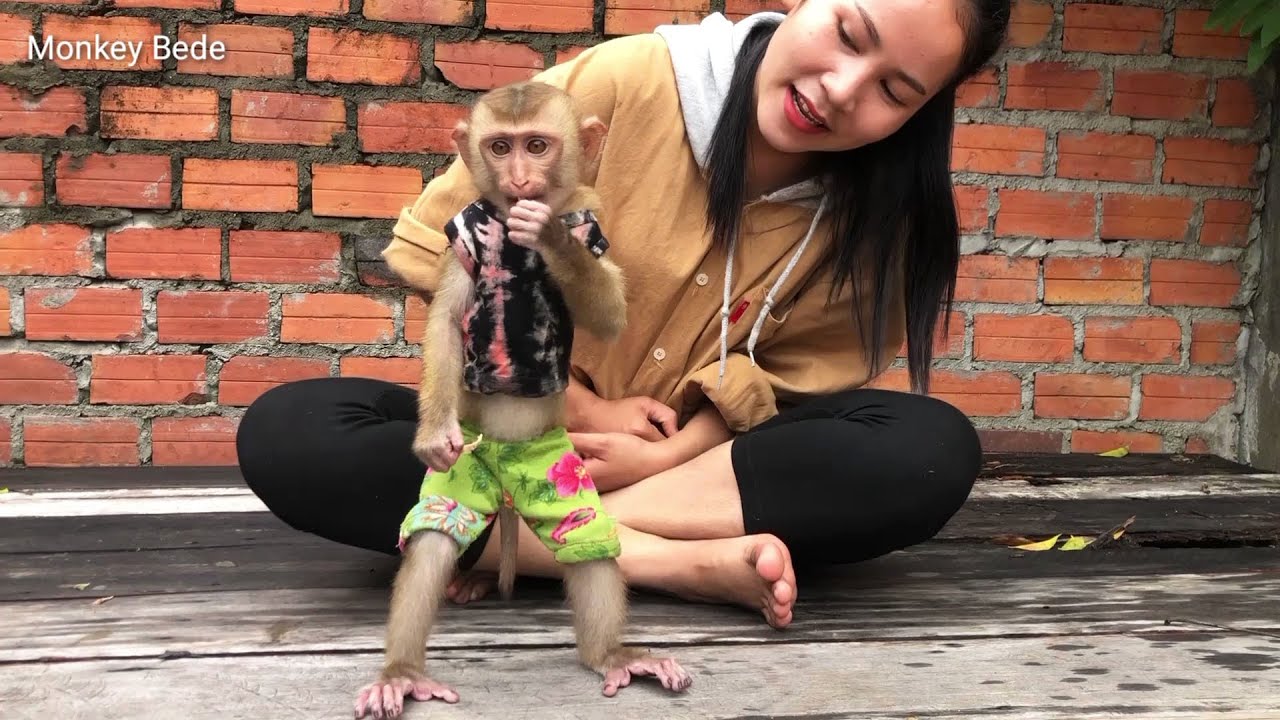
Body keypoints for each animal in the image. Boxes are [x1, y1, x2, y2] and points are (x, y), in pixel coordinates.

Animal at [354, 81, 692, 719]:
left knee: (587, 542)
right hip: (472, 465)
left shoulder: (593, 223)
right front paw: (432, 435)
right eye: (499, 146)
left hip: (557, 470)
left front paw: (551, 234)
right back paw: (402, 673)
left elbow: (610, 315)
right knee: (434, 538)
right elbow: (445, 321)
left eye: (536, 145)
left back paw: (612, 655)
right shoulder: (462, 238)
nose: (518, 179)